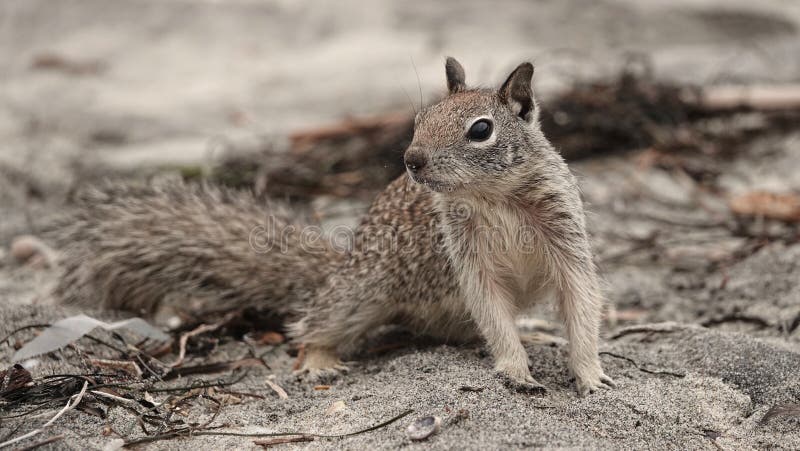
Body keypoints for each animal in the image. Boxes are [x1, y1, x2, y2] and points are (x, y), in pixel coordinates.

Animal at [54, 58, 614, 396]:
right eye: (420, 119)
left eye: (481, 130)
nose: (411, 159)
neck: (491, 197)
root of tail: (344, 263)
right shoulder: (469, 260)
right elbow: (494, 315)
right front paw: (517, 370)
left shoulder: (565, 240)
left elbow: (582, 307)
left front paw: (590, 374)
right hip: (361, 293)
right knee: (313, 325)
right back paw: (319, 359)